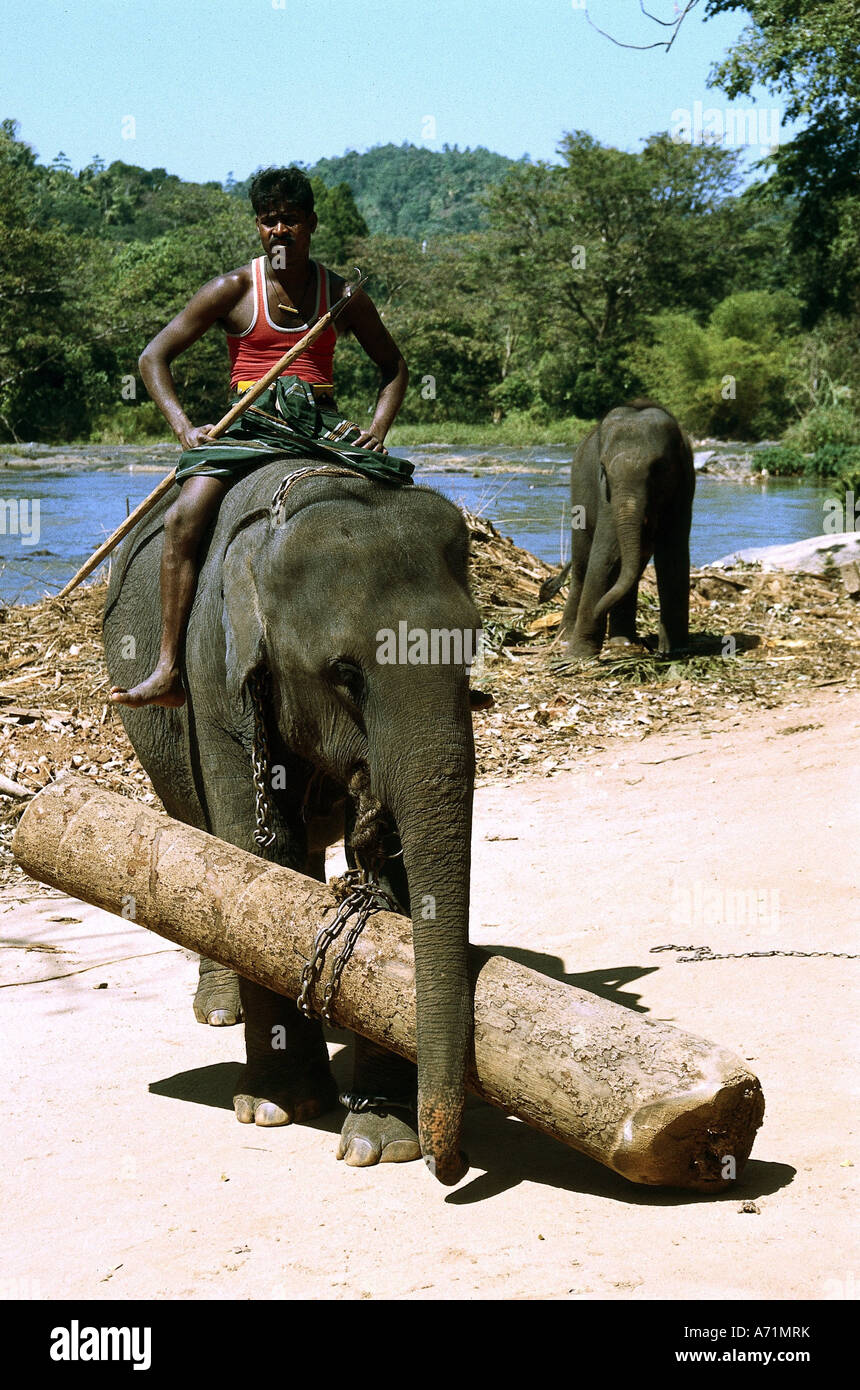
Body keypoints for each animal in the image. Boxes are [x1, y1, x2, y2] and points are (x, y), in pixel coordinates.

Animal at [104, 460, 481, 1186]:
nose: (445, 1166)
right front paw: (279, 1107)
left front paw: (379, 1139)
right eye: (345, 673)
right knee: (200, 832)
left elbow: (388, 870)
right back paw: (221, 1011)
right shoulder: (212, 675)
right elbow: (251, 850)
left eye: (470, 651)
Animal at [557, 399, 695, 659]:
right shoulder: (605, 495)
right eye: (602, 468)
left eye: (659, 467)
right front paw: (578, 656)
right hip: (577, 497)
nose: (597, 611)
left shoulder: (684, 486)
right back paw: (565, 637)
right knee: (582, 564)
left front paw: (676, 650)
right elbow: (606, 554)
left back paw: (623, 642)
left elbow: (672, 556)